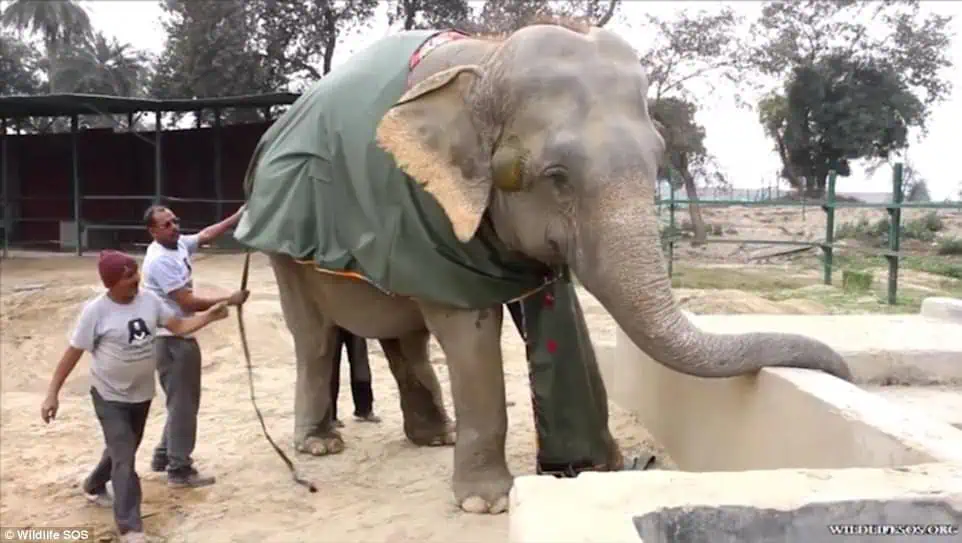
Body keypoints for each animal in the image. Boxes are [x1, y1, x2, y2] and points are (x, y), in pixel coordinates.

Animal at [233, 21, 854, 516]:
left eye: (659, 160)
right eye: (555, 176)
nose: (844, 373)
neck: (486, 59)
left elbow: (559, 314)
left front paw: (594, 470)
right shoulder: (430, 206)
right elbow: (469, 334)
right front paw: (487, 504)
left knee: (404, 334)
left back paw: (434, 438)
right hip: (280, 244)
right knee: (315, 335)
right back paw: (320, 446)